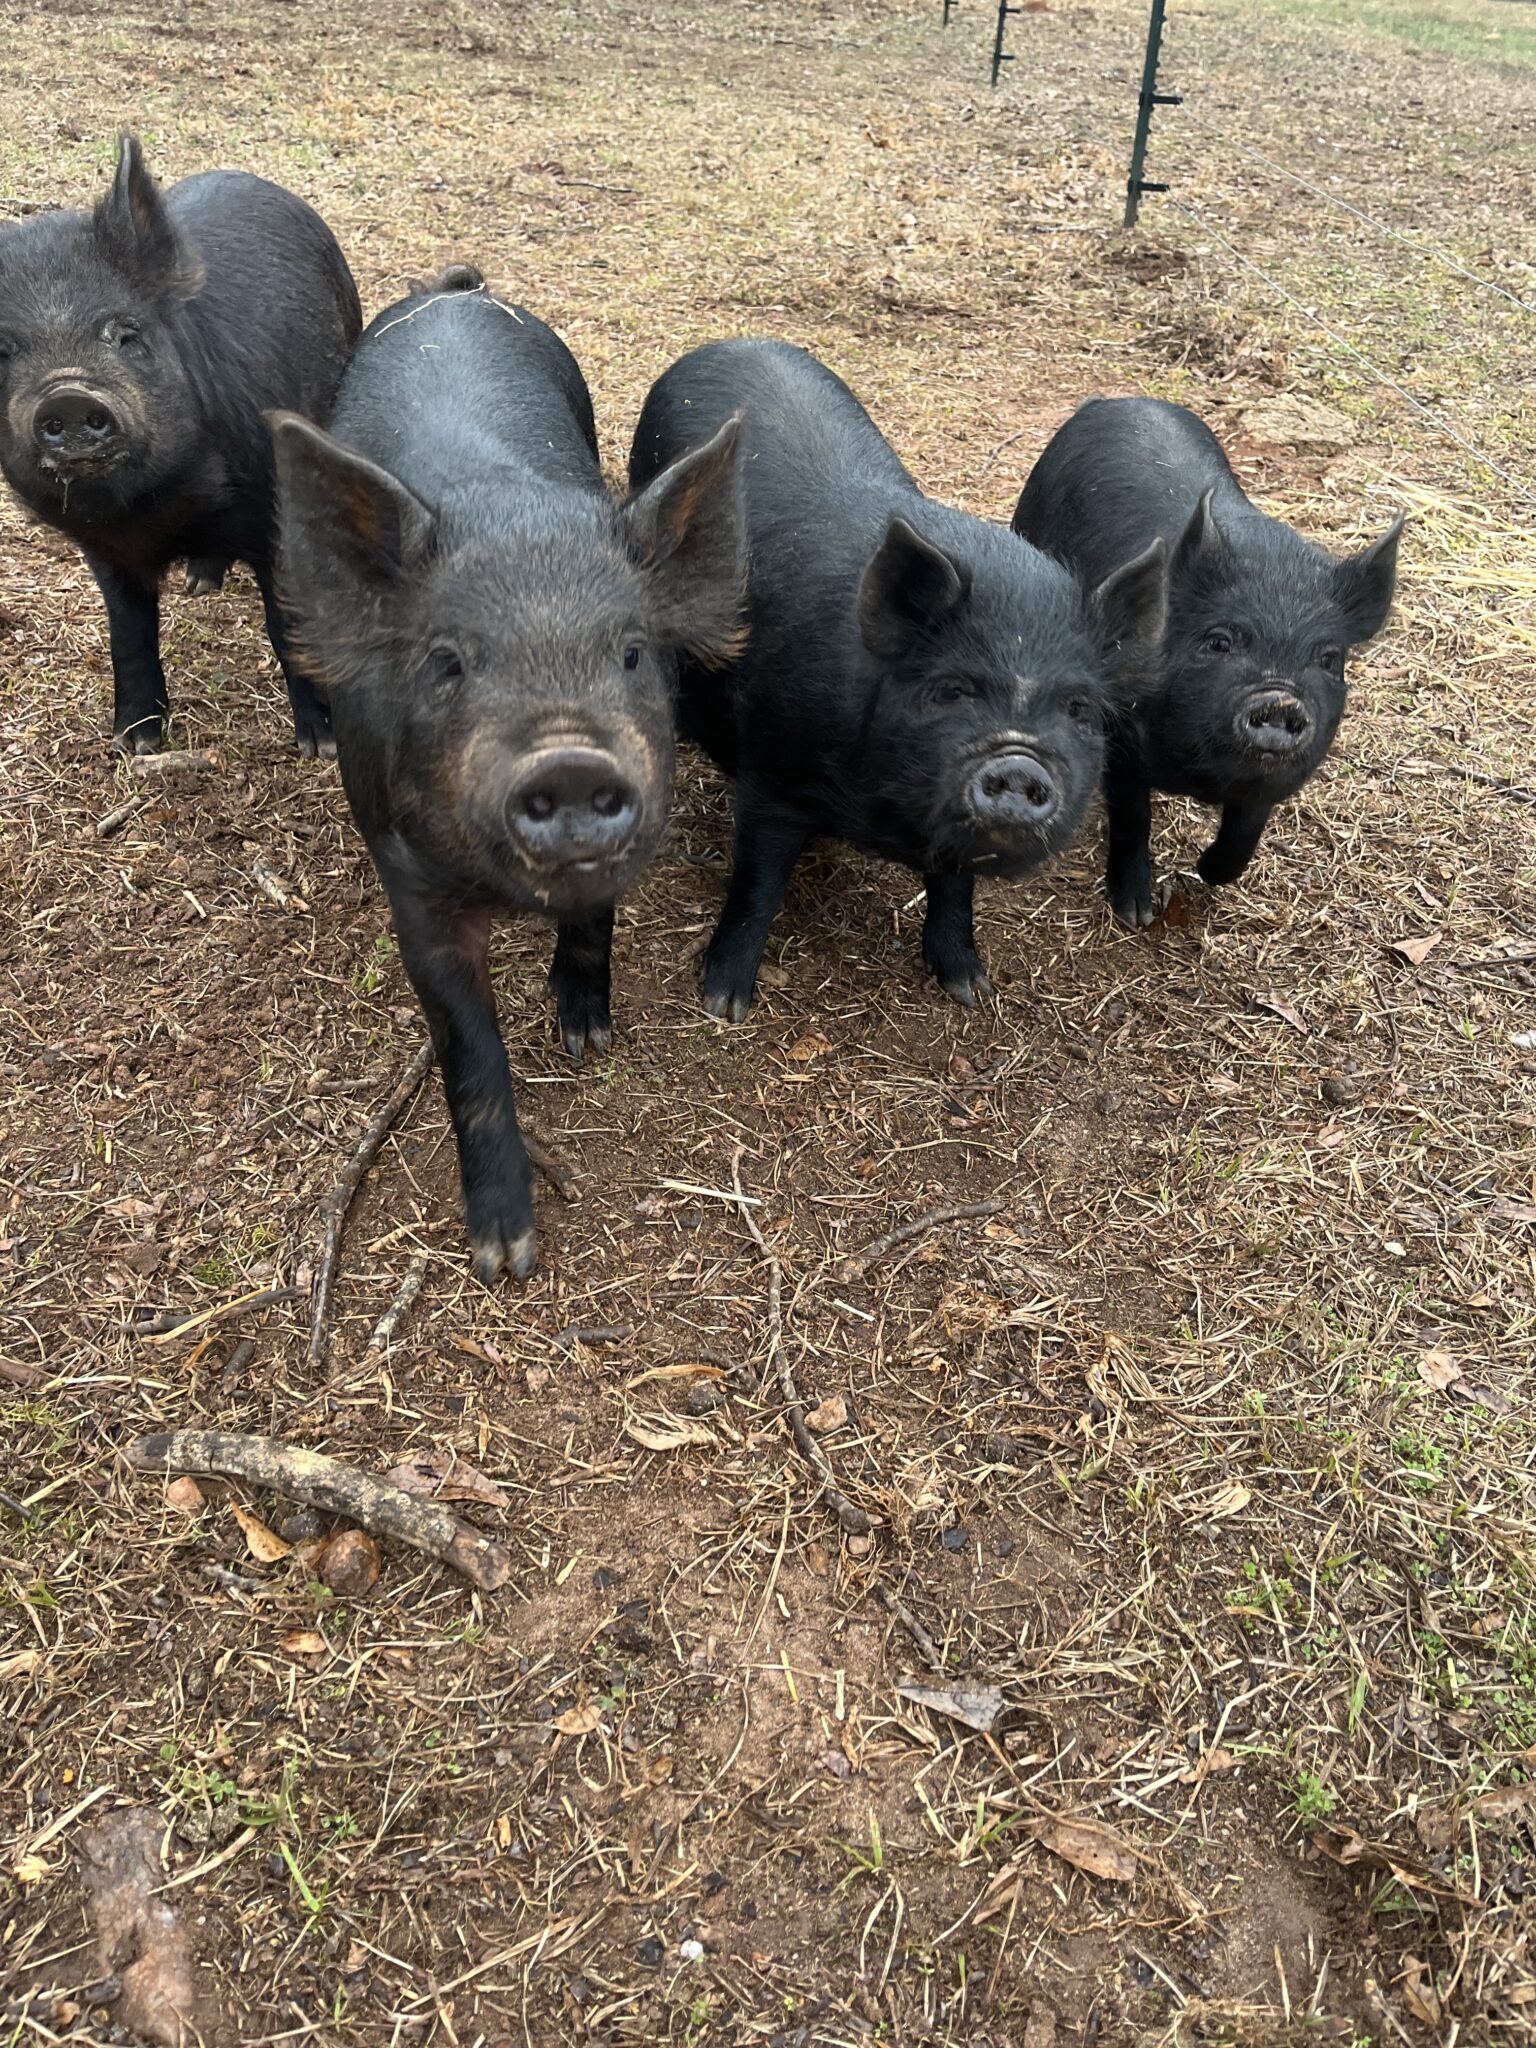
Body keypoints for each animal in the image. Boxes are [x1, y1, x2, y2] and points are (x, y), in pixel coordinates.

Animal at [0, 131, 361, 755]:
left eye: (126, 334)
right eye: (2, 350)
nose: (67, 394)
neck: (156, 508)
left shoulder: (275, 511)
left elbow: (287, 624)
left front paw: (321, 746)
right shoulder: (103, 549)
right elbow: (129, 630)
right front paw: (134, 744)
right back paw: (198, 585)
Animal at [271, 268, 745, 1283]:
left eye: (633, 652)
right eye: (448, 660)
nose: (568, 758)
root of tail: (453, 294)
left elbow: (596, 922)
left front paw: (586, 1039)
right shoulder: (408, 877)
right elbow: (469, 1047)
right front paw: (503, 1259)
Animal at [627, 338, 1166, 1016]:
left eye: (1080, 709)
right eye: (953, 688)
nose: (1020, 762)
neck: (881, 818)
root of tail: (728, 342)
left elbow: (956, 886)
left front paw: (970, 990)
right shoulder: (772, 772)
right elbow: (757, 888)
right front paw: (723, 1005)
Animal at [1012, 397, 1403, 926]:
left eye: (1329, 657)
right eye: (1220, 641)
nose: (1280, 697)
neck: (1204, 776)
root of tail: (1116, 400)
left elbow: (1245, 833)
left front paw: (1206, 873)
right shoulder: (1121, 731)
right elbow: (1133, 816)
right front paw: (1136, 914)